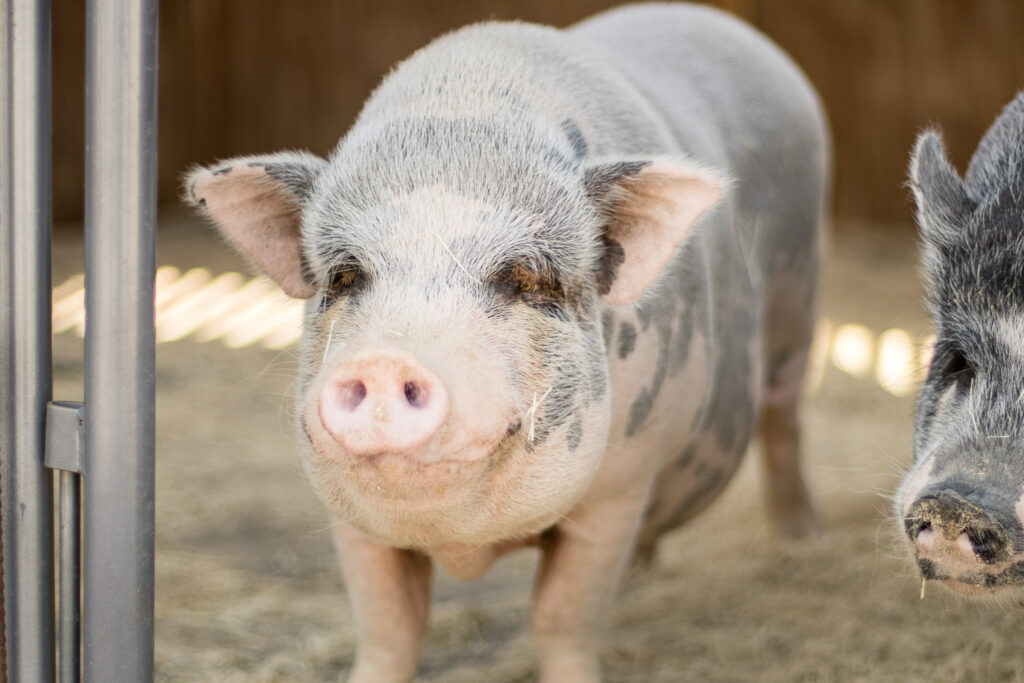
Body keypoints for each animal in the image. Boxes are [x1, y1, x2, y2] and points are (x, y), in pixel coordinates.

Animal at [184, 4, 829, 681]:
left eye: (524, 278)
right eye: (344, 275)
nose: (387, 359)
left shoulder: (618, 494)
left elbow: (561, 616)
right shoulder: (348, 521)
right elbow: (388, 625)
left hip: (799, 301)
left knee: (784, 419)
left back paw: (803, 536)